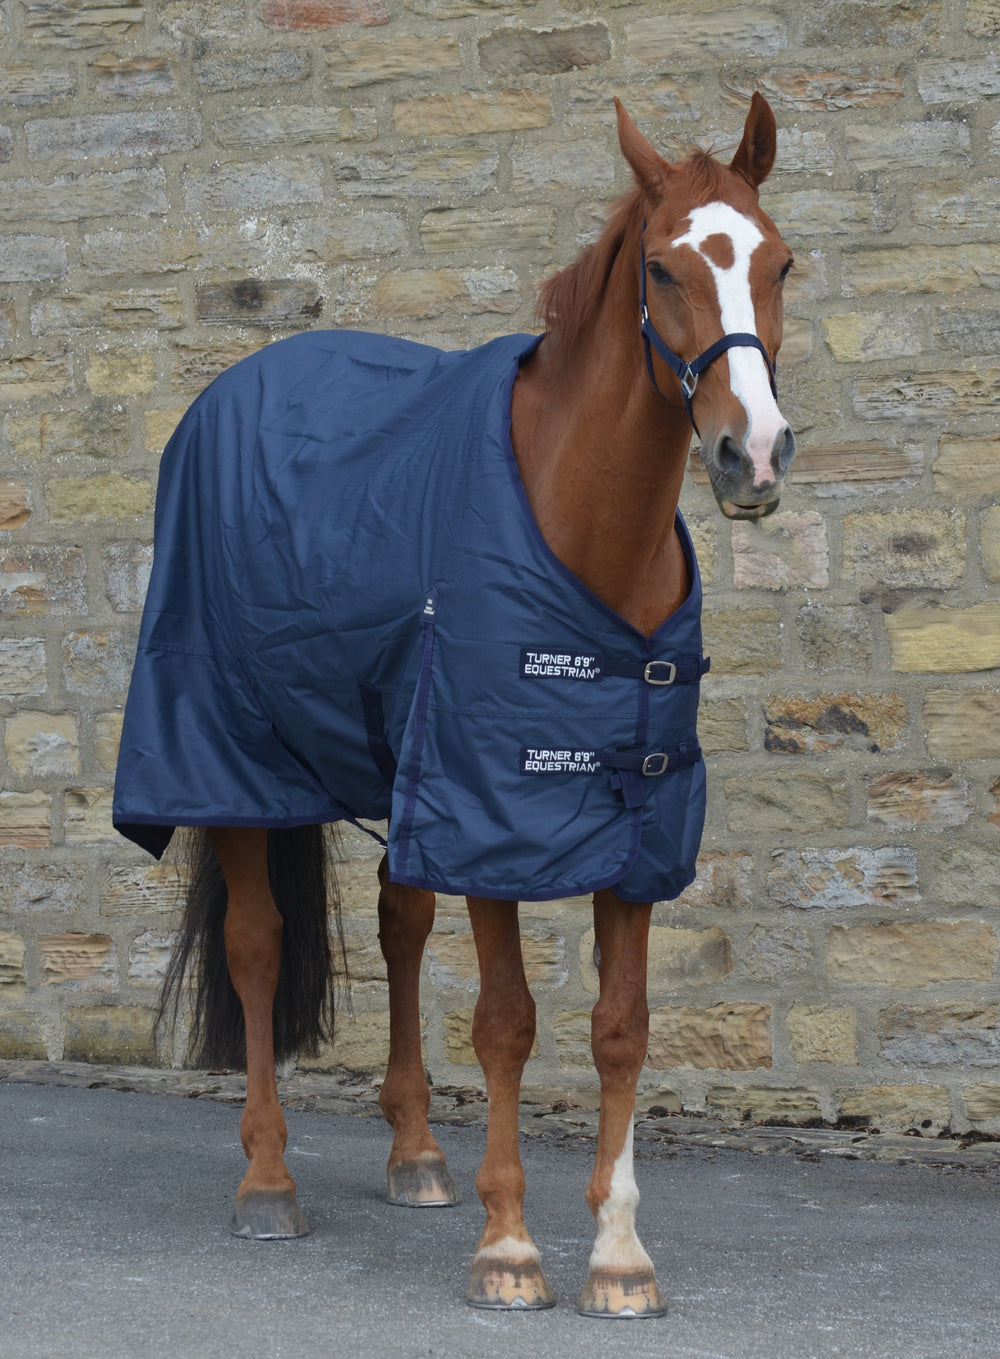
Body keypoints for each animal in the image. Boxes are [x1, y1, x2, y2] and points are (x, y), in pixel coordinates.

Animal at [112, 93, 795, 1318]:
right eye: (664, 269)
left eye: (781, 262)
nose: (752, 455)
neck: (584, 530)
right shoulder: (495, 812)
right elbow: (508, 1022)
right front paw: (510, 1248)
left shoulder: (631, 816)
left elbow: (620, 1029)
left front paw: (618, 1254)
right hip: (232, 761)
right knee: (253, 944)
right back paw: (268, 1180)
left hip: (399, 762)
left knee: (399, 921)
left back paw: (415, 1154)